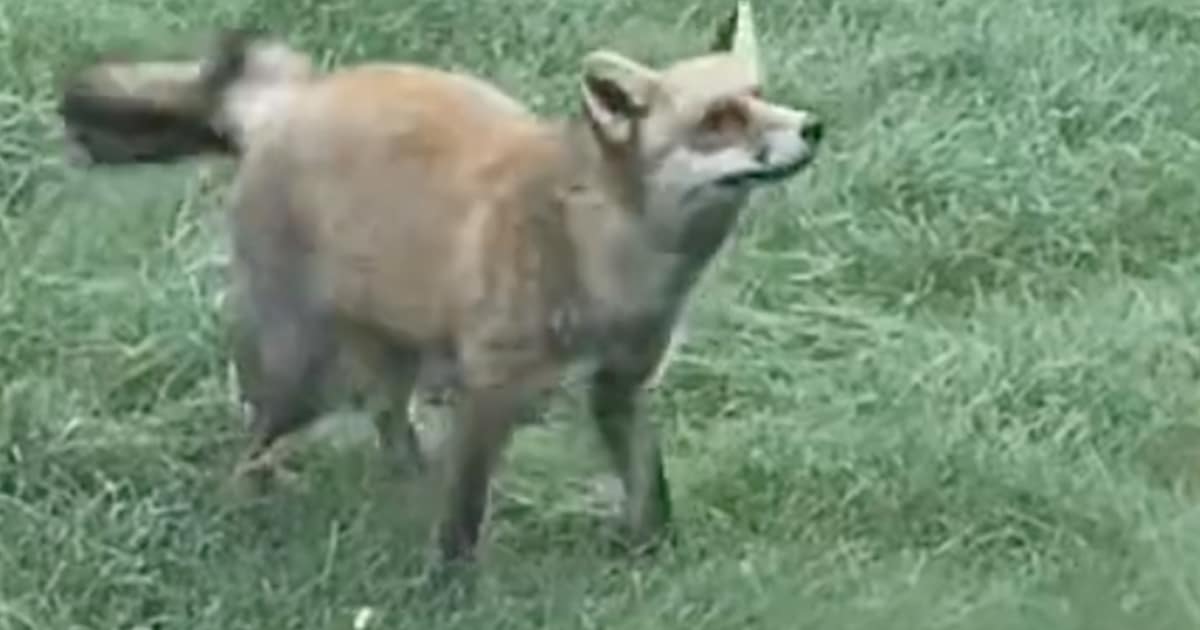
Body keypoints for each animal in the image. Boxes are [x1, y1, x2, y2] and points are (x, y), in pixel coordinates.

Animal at [55, 2, 824, 569]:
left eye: (761, 98)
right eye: (719, 119)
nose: (813, 127)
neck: (611, 263)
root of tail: (293, 100)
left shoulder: (620, 383)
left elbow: (648, 490)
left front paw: (655, 559)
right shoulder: (489, 389)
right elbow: (463, 517)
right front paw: (452, 590)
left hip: (395, 353)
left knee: (388, 419)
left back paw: (405, 479)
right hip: (299, 377)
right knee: (257, 445)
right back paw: (247, 508)